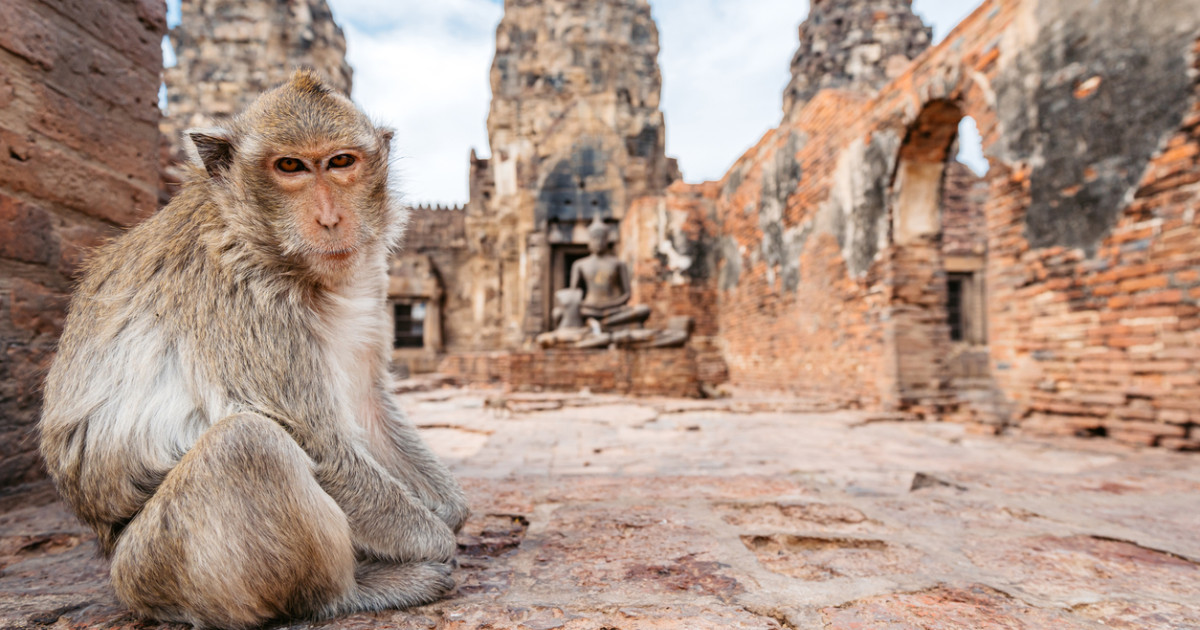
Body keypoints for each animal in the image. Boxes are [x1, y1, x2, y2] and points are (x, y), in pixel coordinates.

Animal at [38, 69, 470, 629]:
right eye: (289, 167)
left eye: (341, 162)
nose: (330, 219)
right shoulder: (240, 295)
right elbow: (320, 445)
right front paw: (437, 542)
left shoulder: (369, 279)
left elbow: (367, 406)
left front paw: (452, 512)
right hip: (153, 570)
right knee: (247, 444)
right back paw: (350, 592)